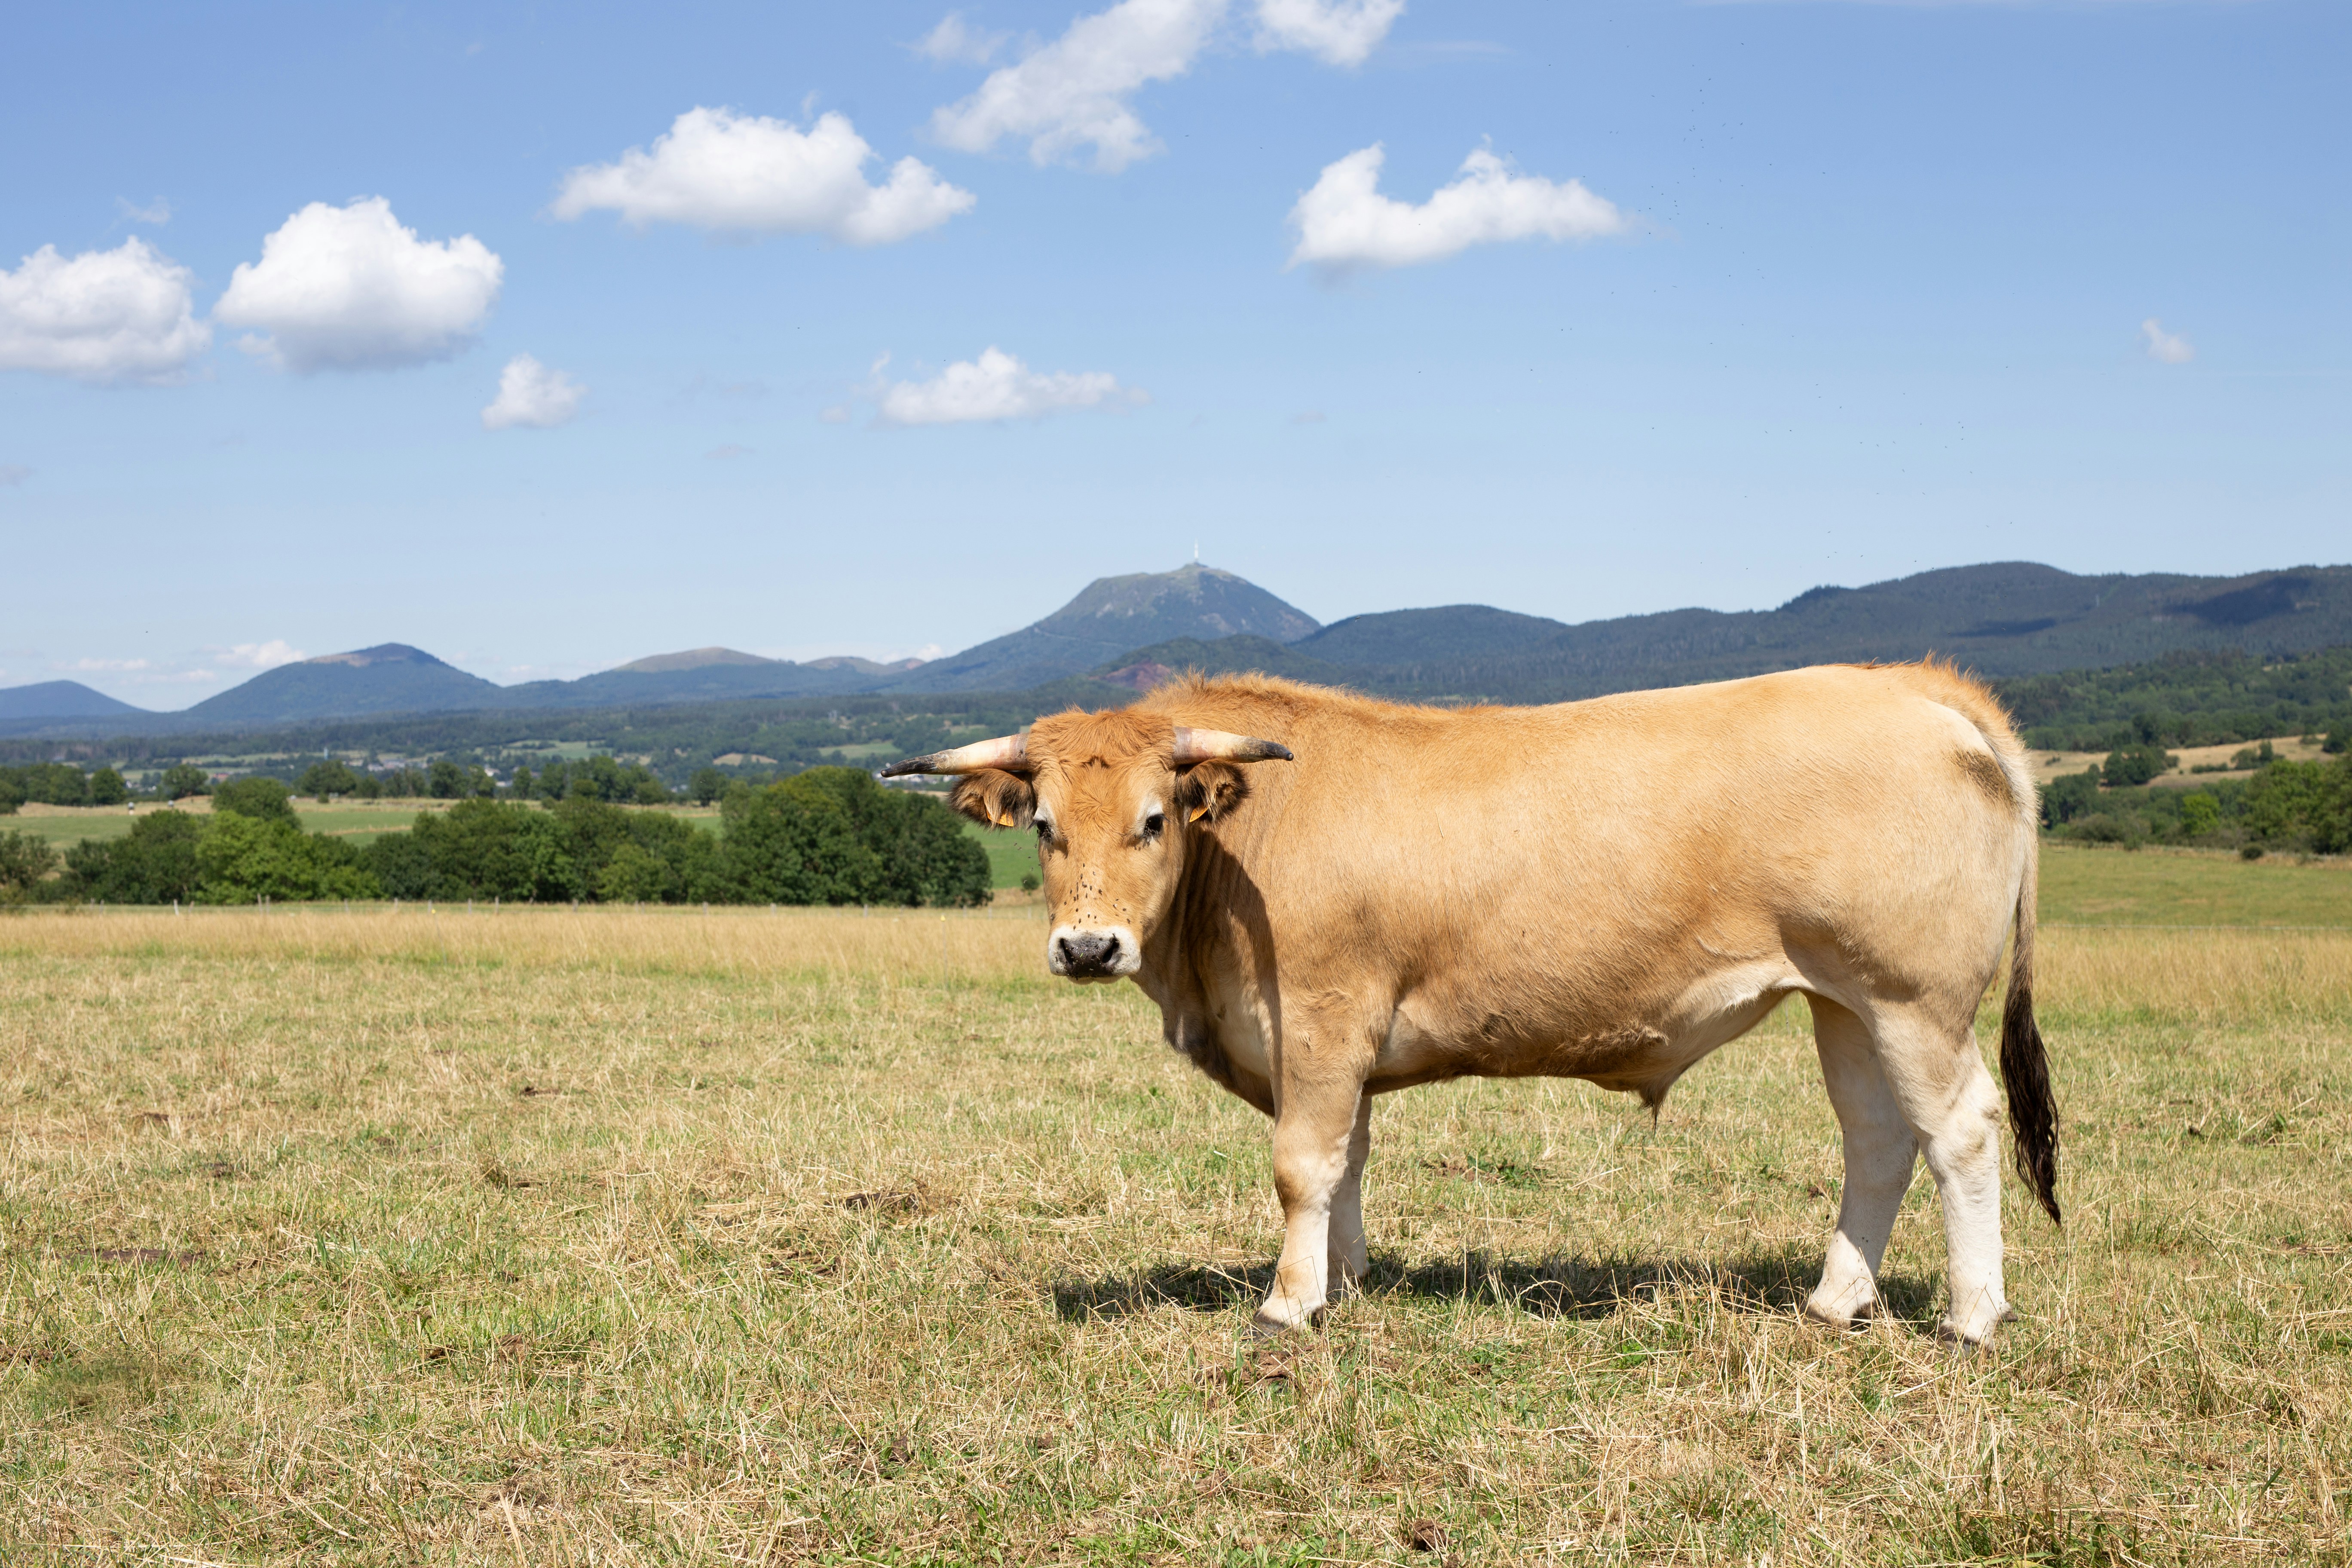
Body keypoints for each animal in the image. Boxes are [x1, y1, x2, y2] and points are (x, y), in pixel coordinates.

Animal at [882, 663, 2060, 1345]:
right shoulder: (1335, 1043)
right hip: (1841, 1002)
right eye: (1043, 825)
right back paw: (1833, 1302)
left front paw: (1286, 1305)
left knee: (1958, 1132)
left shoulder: (1321, 1012)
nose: (1088, 946)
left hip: (1912, 997)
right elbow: (1348, 1159)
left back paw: (1971, 1318)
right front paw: (1345, 1280)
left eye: (1153, 819)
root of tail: (1913, 684)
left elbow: (1302, 1163)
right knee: (1877, 1141)